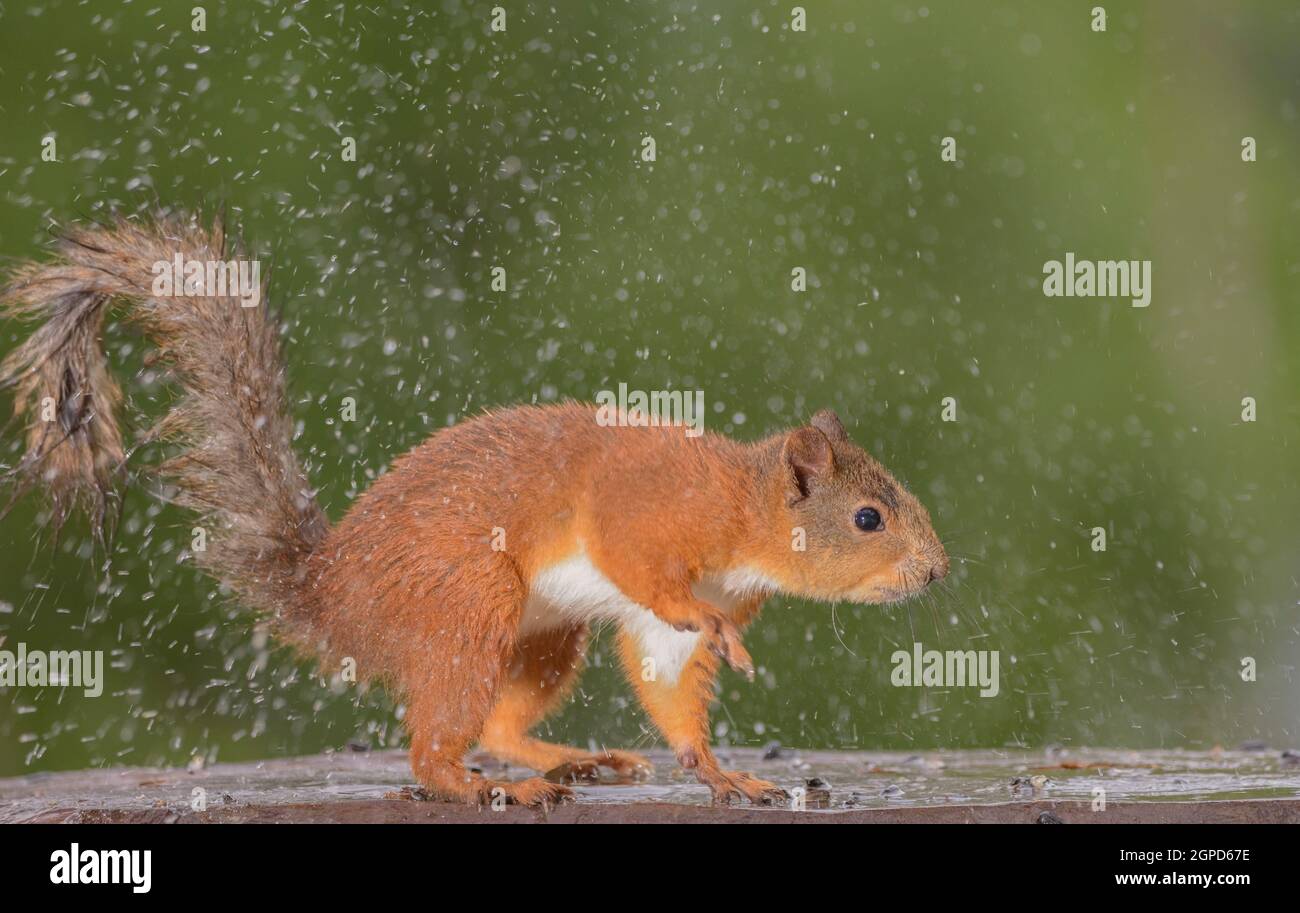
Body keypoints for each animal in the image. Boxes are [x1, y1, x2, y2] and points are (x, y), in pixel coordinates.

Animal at [0, 213, 948, 807]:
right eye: (868, 518)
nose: (938, 571)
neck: (746, 519)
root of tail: (329, 594)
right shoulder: (646, 511)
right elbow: (647, 572)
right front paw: (716, 632)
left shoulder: (661, 627)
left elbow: (668, 679)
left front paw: (722, 775)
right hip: (468, 597)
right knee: (435, 748)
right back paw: (495, 785)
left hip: (545, 634)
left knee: (495, 719)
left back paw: (574, 759)